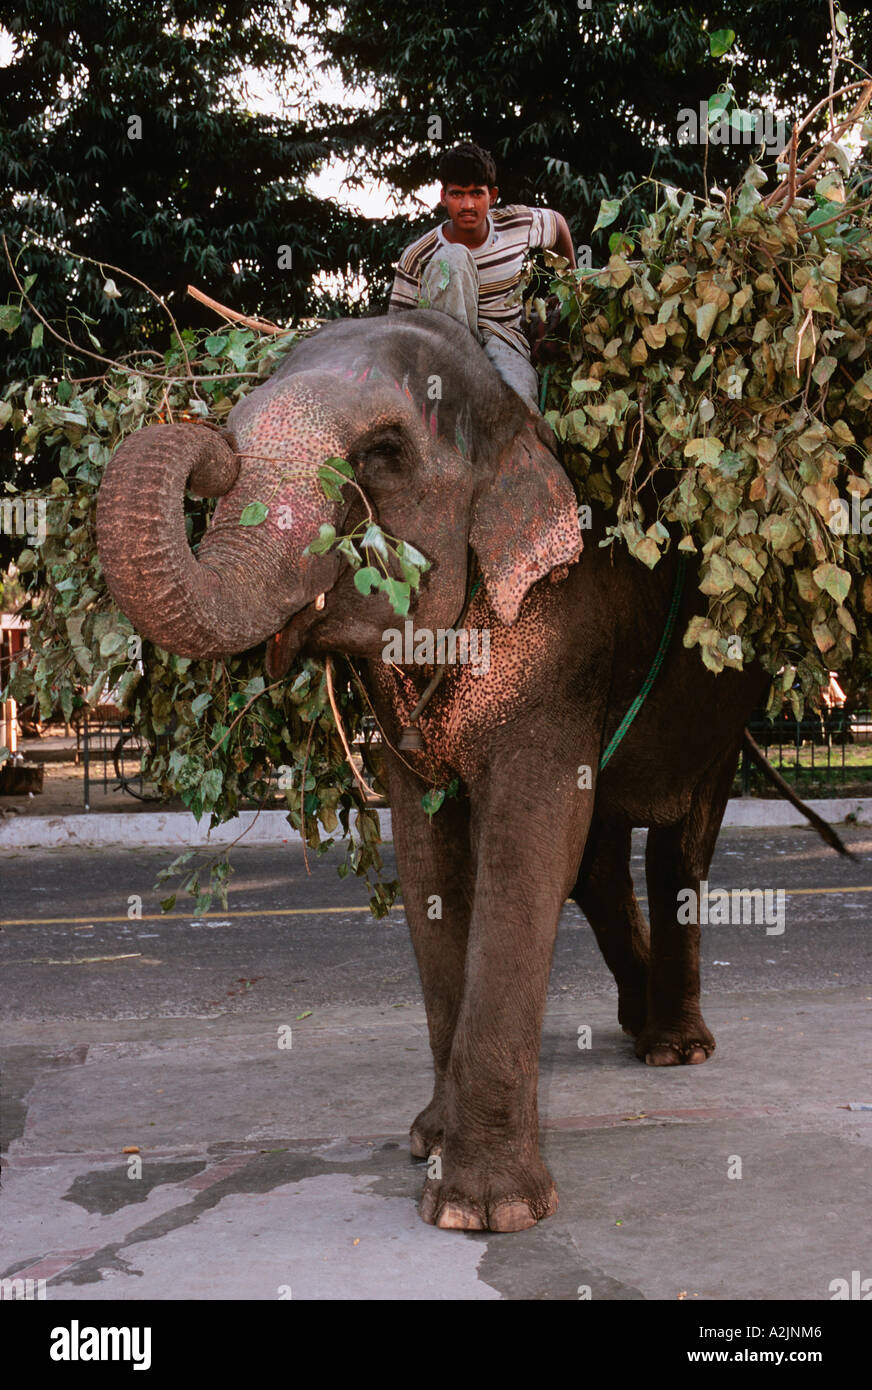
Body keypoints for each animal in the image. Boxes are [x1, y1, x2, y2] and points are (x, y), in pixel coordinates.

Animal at [96, 308, 790, 1232]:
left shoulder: (560, 644)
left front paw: (484, 1210)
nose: (211, 445)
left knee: (681, 842)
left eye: (383, 452)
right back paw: (636, 1023)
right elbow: (430, 859)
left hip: (727, 700)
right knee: (599, 860)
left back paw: (674, 1050)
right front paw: (427, 1141)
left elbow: (526, 849)